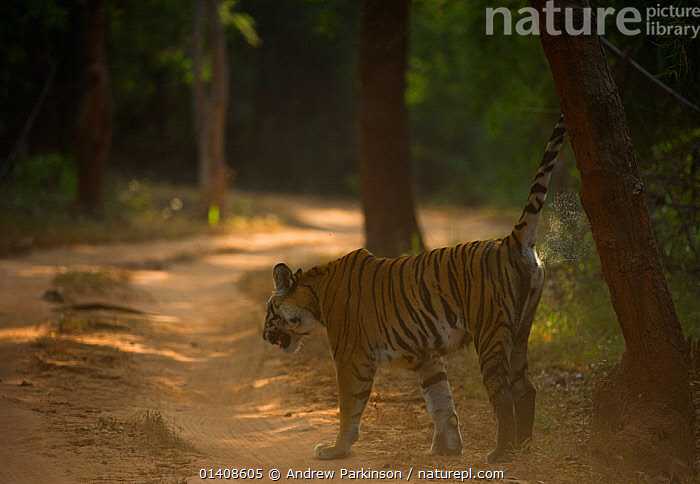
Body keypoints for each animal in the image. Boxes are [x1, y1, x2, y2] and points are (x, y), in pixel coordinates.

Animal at [263, 115, 566, 462]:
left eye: (269, 311)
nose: (264, 335)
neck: (316, 295)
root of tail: (510, 241)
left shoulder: (351, 357)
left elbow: (348, 408)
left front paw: (336, 449)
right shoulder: (427, 357)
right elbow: (441, 403)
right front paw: (448, 448)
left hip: (491, 334)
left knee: (502, 393)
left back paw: (501, 453)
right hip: (521, 331)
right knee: (525, 387)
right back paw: (524, 450)